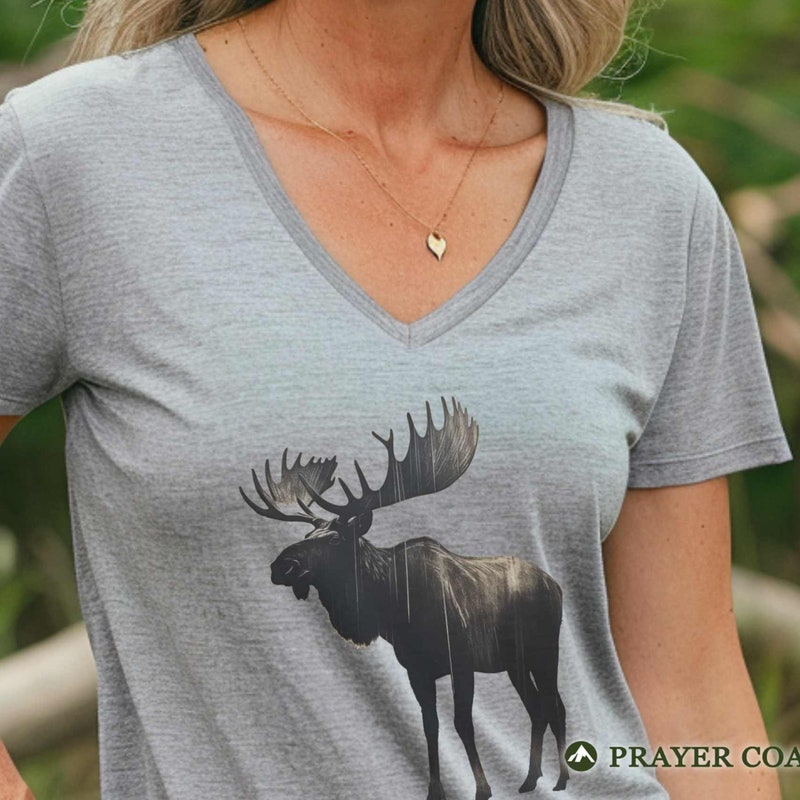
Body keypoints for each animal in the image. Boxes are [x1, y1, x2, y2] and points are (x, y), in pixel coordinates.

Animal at [239, 397, 569, 799]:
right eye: (307, 535)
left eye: (335, 539)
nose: (281, 565)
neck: (393, 608)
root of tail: (556, 586)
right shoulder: (416, 669)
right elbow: (430, 727)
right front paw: (435, 790)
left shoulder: (461, 662)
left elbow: (463, 724)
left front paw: (482, 788)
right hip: (514, 662)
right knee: (537, 708)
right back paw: (530, 777)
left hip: (544, 650)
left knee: (555, 705)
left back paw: (560, 778)